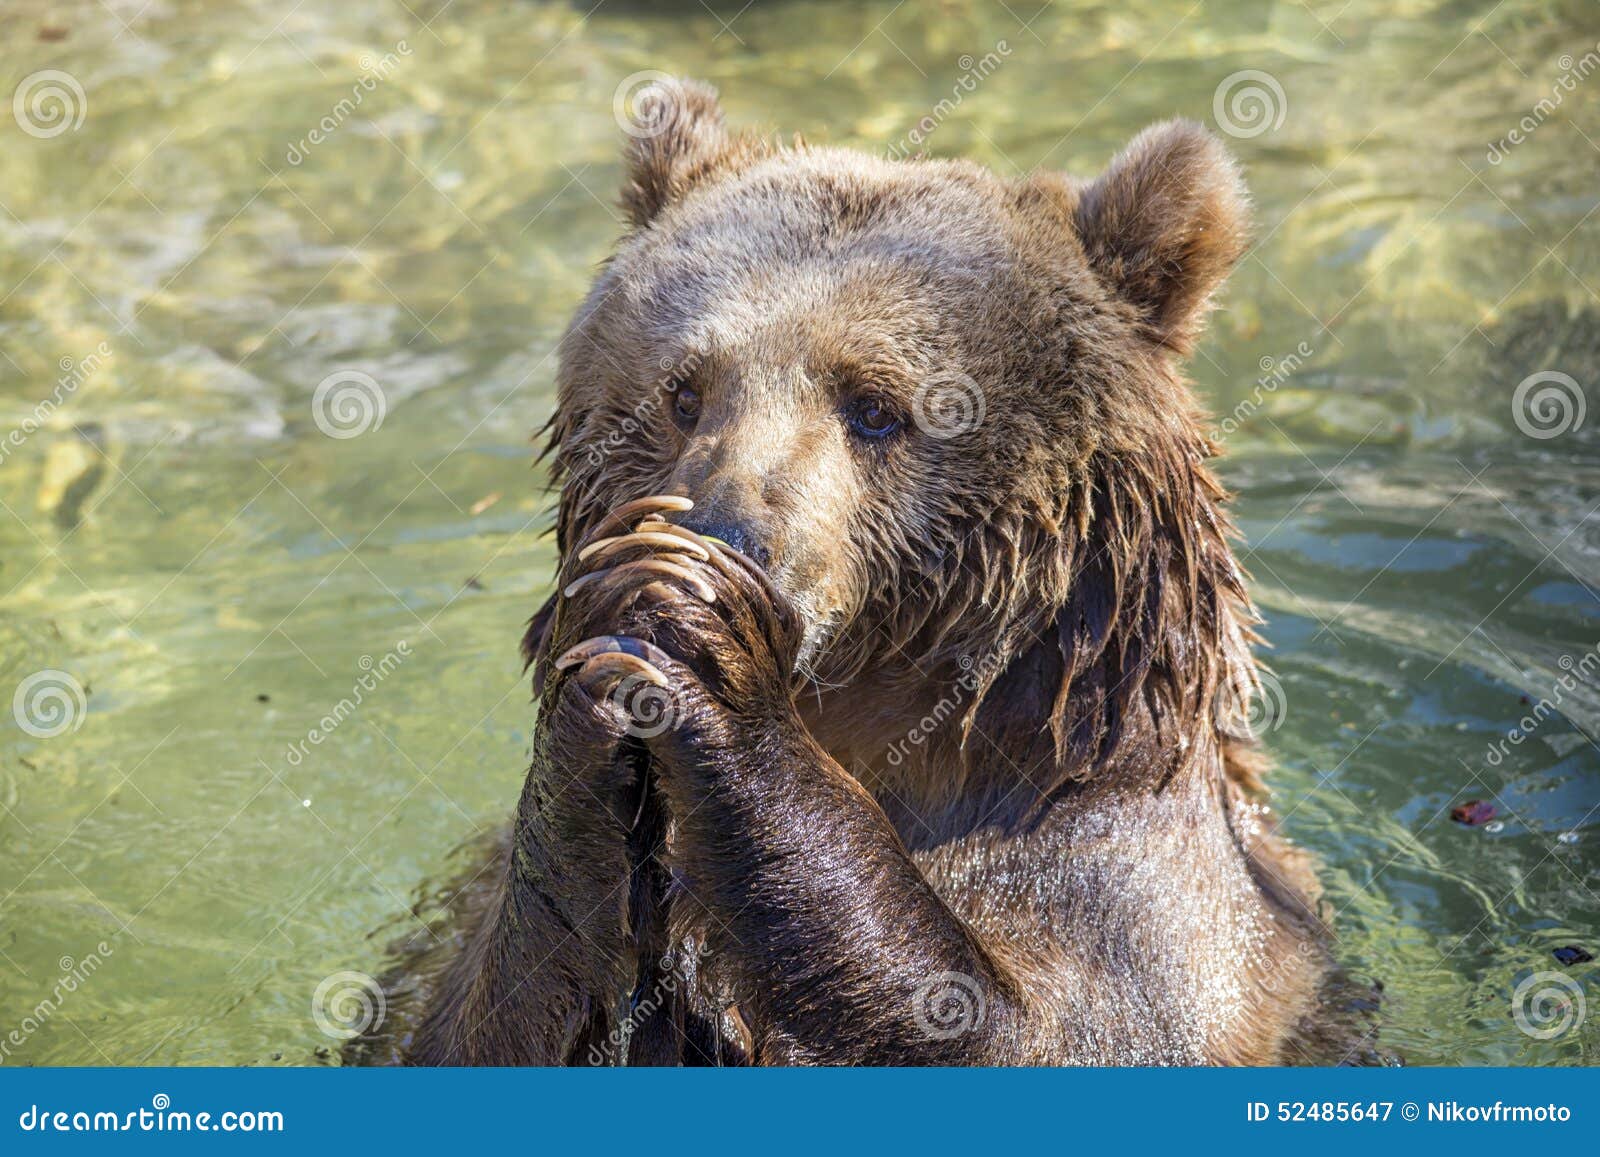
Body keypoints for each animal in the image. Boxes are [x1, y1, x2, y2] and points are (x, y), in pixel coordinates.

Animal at [359, 77, 1334, 1066]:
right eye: (684, 391)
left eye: (875, 406)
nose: (723, 532)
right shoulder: (475, 918)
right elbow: (479, 1019)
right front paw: (616, 624)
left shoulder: (1135, 888)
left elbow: (1023, 1023)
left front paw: (711, 649)